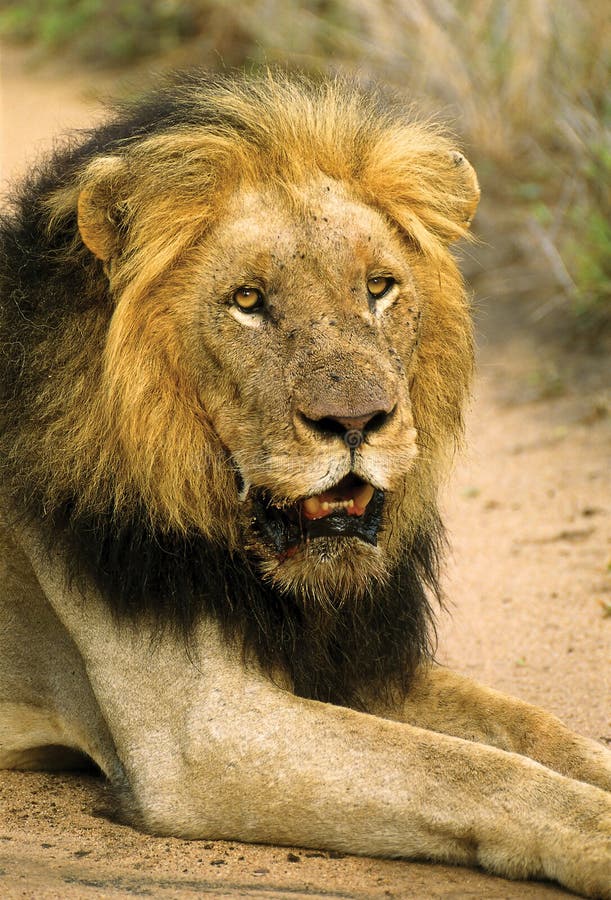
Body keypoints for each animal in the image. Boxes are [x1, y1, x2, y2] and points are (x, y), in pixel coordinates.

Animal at [0, 72, 609, 898]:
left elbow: (532, 727)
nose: (354, 421)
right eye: (247, 301)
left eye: (378, 288)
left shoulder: (346, 654)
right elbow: (471, 771)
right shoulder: (203, 734)